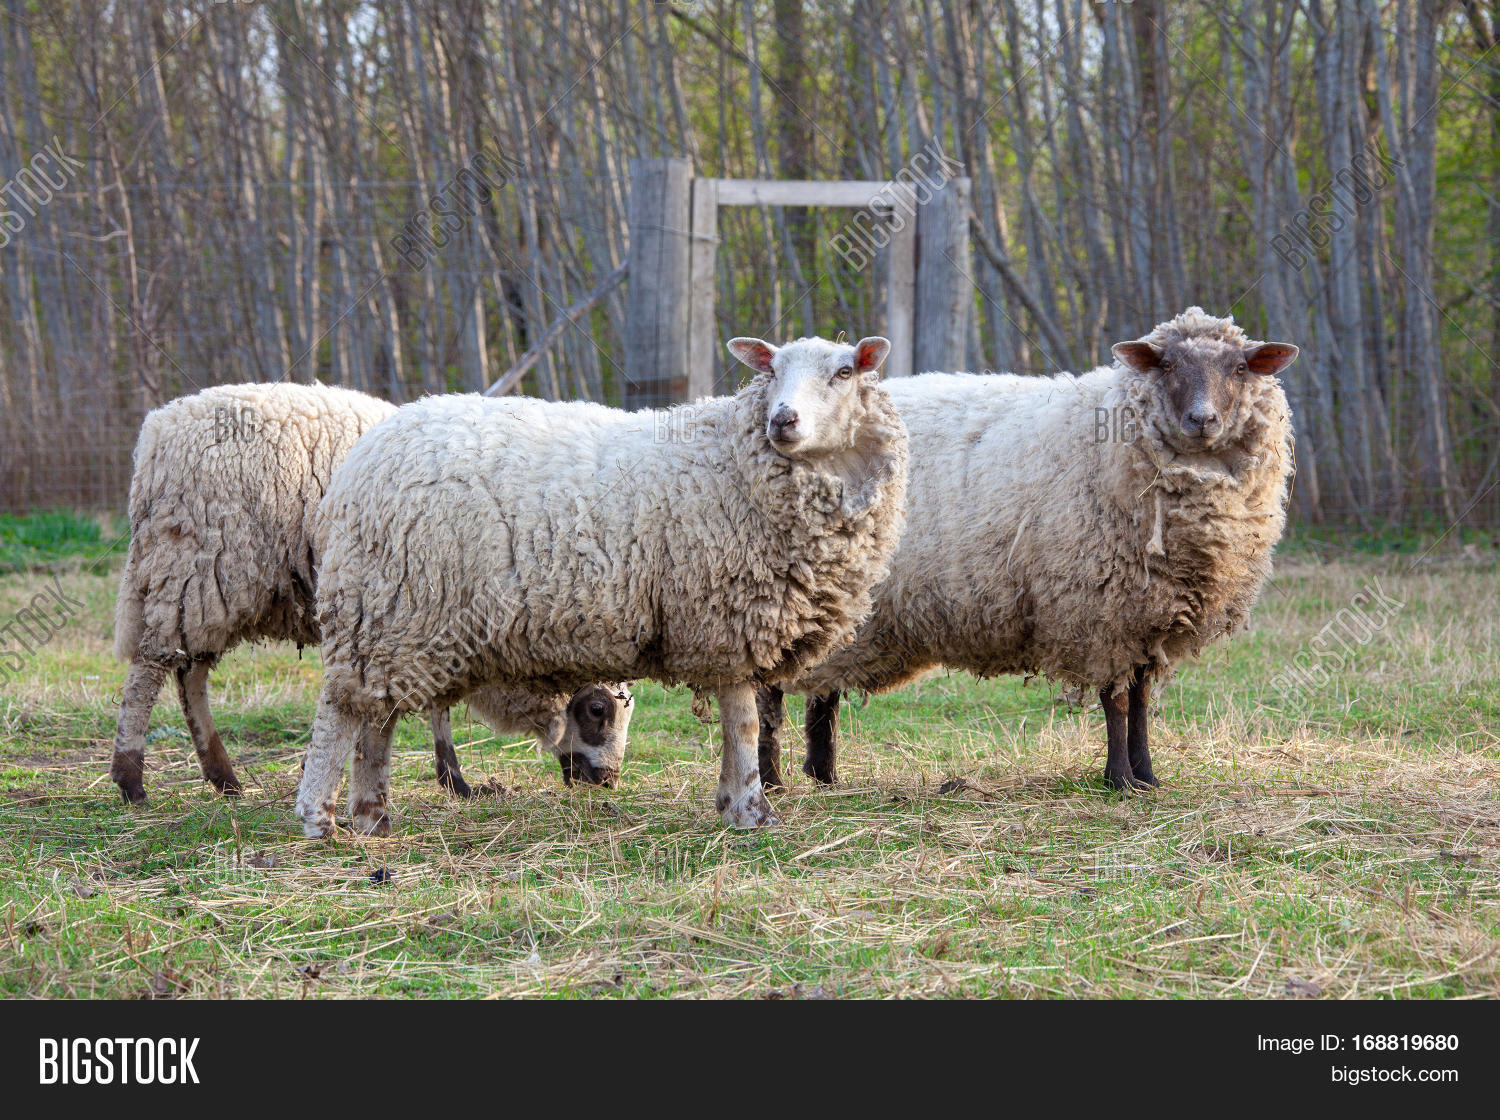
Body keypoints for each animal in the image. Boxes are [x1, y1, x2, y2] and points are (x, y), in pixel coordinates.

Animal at [109, 381, 632, 805]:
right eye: (597, 709)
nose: (605, 781)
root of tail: (159, 430)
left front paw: (448, 778)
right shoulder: (424, 605)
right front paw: (451, 778)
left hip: (208, 585)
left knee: (189, 673)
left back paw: (223, 777)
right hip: (197, 568)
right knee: (150, 671)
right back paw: (132, 780)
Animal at [294, 334, 909, 836]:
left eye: (844, 372)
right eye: (773, 370)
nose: (782, 419)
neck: (735, 462)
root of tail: (363, 456)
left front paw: (732, 803)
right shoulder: (724, 622)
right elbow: (744, 721)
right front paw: (751, 809)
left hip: (397, 625)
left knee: (378, 720)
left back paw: (373, 816)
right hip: (388, 607)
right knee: (340, 714)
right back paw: (318, 816)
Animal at [755, 308, 1298, 792]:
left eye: (1240, 368)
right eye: (1165, 366)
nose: (1202, 419)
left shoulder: (1145, 617)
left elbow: (1141, 700)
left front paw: (1147, 776)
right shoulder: (1099, 613)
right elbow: (1117, 702)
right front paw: (1119, 779)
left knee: (820, 691)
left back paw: (824, 775)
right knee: (767, 693)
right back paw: (772, 780)